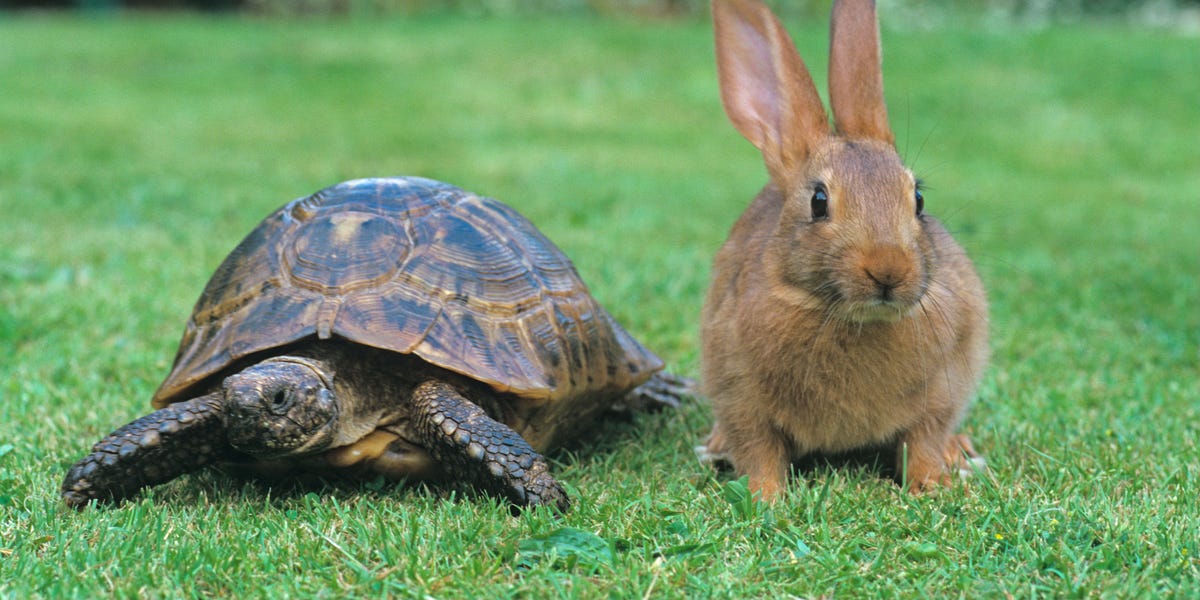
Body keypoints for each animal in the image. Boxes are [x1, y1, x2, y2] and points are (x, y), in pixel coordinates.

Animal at [700, 0, 990, 502]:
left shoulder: (941, 391)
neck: (849, 318)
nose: (888, 270)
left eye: (918, 199)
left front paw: (932, 487)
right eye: (819, 201)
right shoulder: (740, 395)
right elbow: (759, 452)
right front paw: (765, 499)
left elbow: (923, 441)